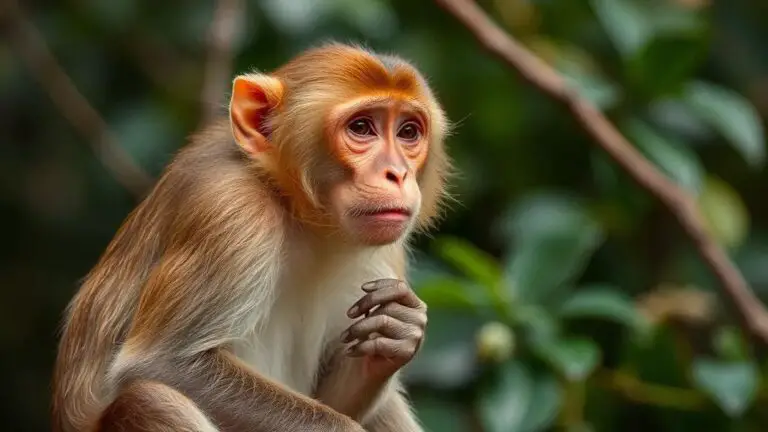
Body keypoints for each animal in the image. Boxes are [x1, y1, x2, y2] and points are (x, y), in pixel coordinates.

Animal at [51, 42, 451, 432]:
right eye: (362, 127)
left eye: (408, 132)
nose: (397, 173)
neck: (296, 210)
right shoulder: (232, 211)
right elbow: (162, 363)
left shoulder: (387, 250)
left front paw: (401, 330)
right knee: (151, 399)